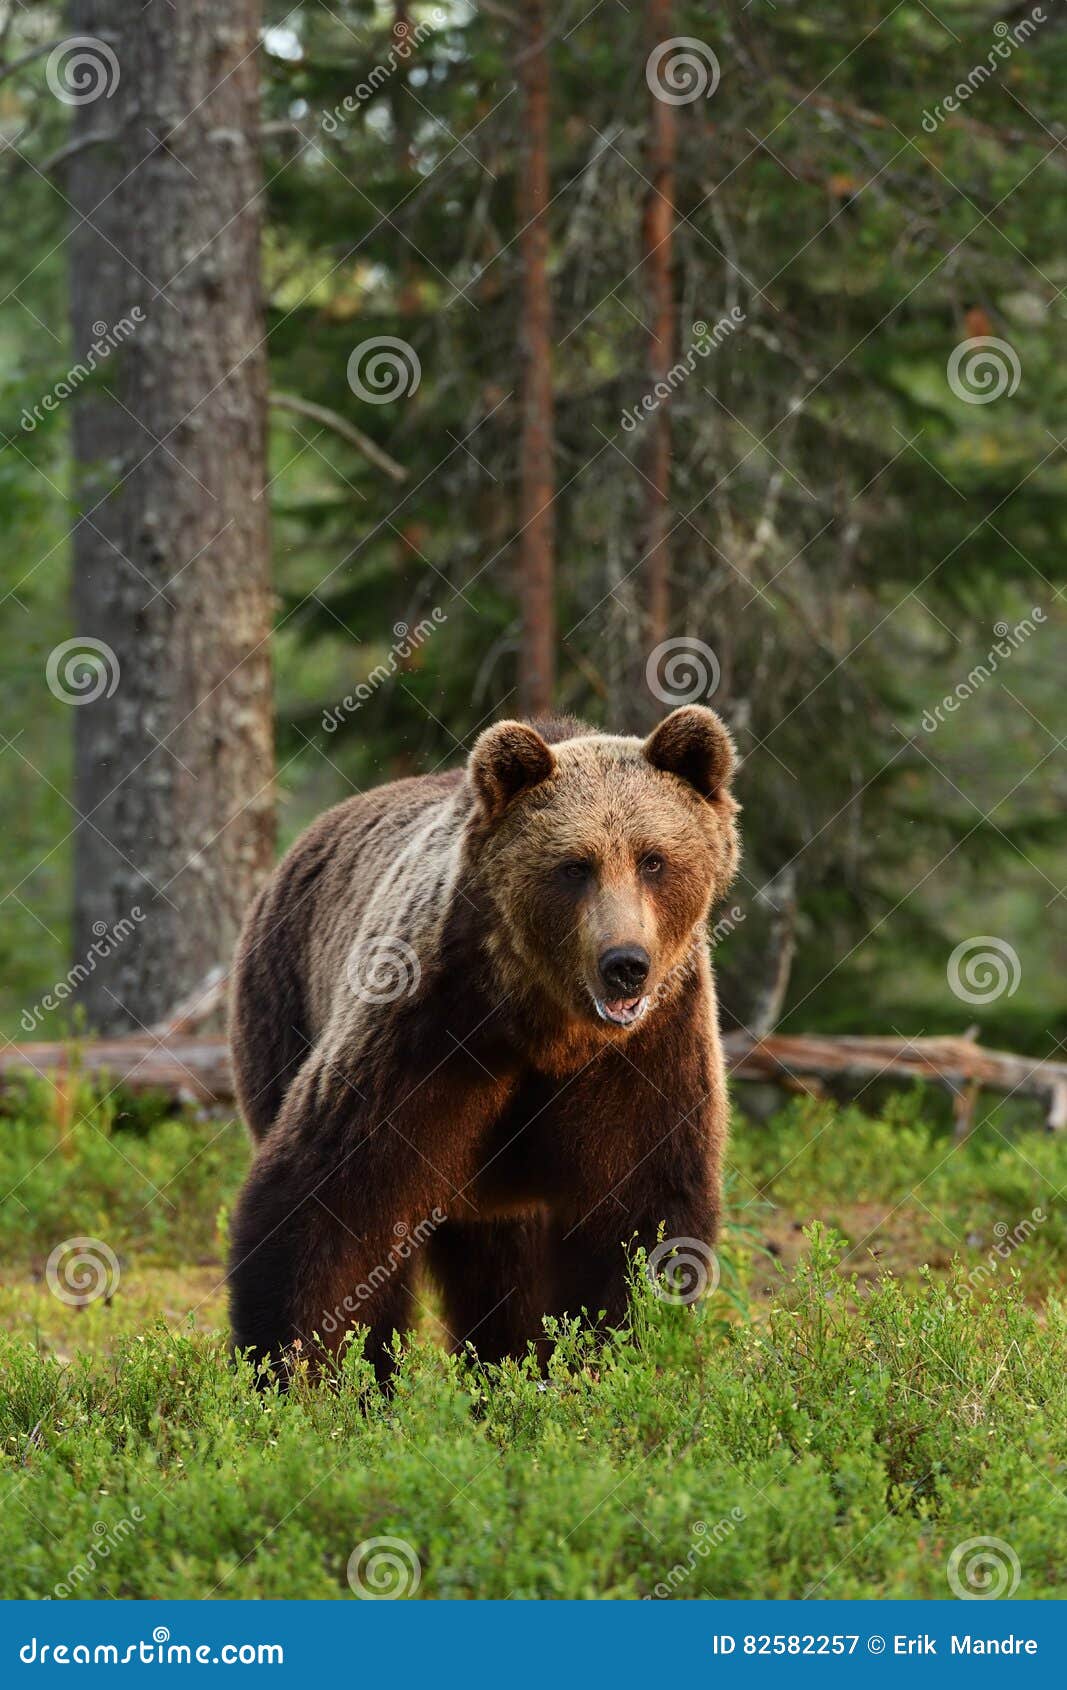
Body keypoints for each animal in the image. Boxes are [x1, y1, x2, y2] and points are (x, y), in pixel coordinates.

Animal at [227, 704, 740, 1384]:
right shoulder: (429, 1026)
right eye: (574, 866)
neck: (550, 1029)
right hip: (281, 1006)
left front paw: (613, 1361)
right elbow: (329, 1200)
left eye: (653, 859)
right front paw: (296, 1372)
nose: (625, 964)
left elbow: (641, 1218)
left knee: (503, 1273)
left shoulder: (650, 1051)